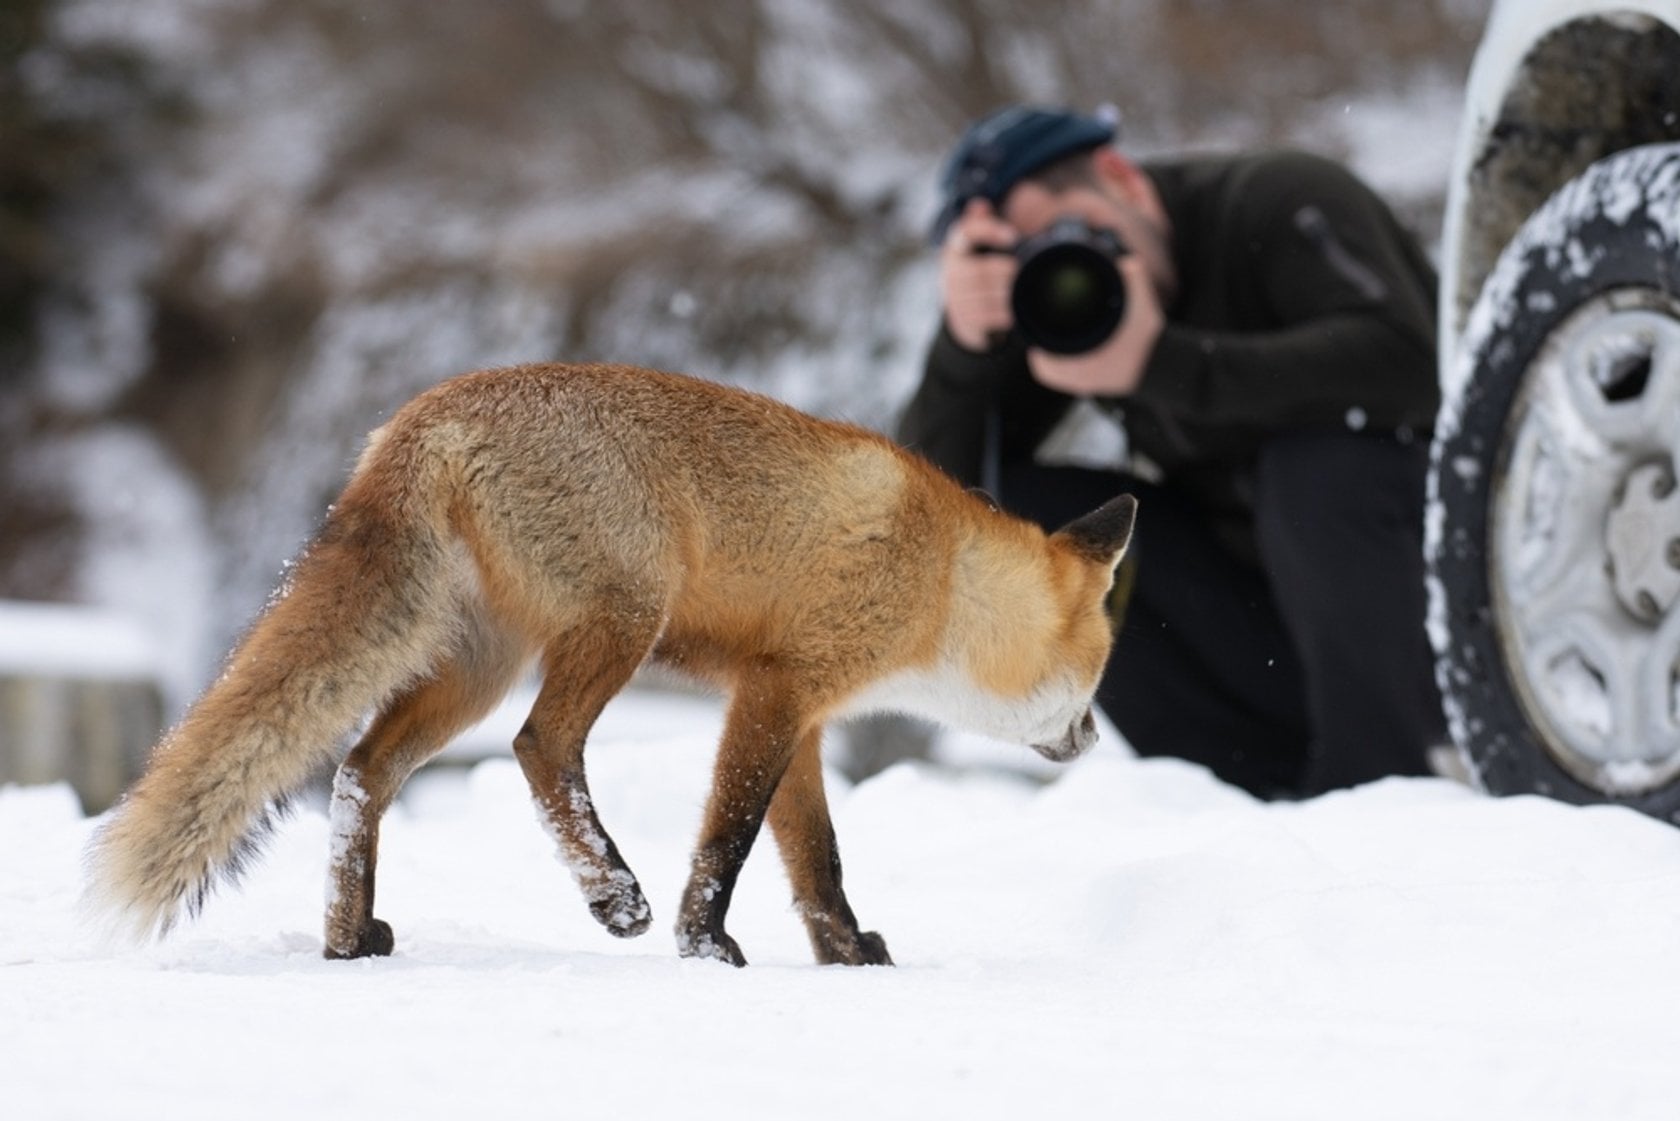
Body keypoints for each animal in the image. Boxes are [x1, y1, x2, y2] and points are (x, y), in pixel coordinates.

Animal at [84, 362, 1134, 966]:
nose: (1089, 740)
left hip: (479, 670)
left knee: (360, 770)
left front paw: (845, 952)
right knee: (541, 745)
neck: (946, 579)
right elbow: (728, 837)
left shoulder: (797, 713)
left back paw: (349, 938)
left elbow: (816, 856)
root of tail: (424, 413)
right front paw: (704, 944)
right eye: (1097, 685)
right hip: (621, 621)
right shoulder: (777, 691)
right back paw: (613, 895)